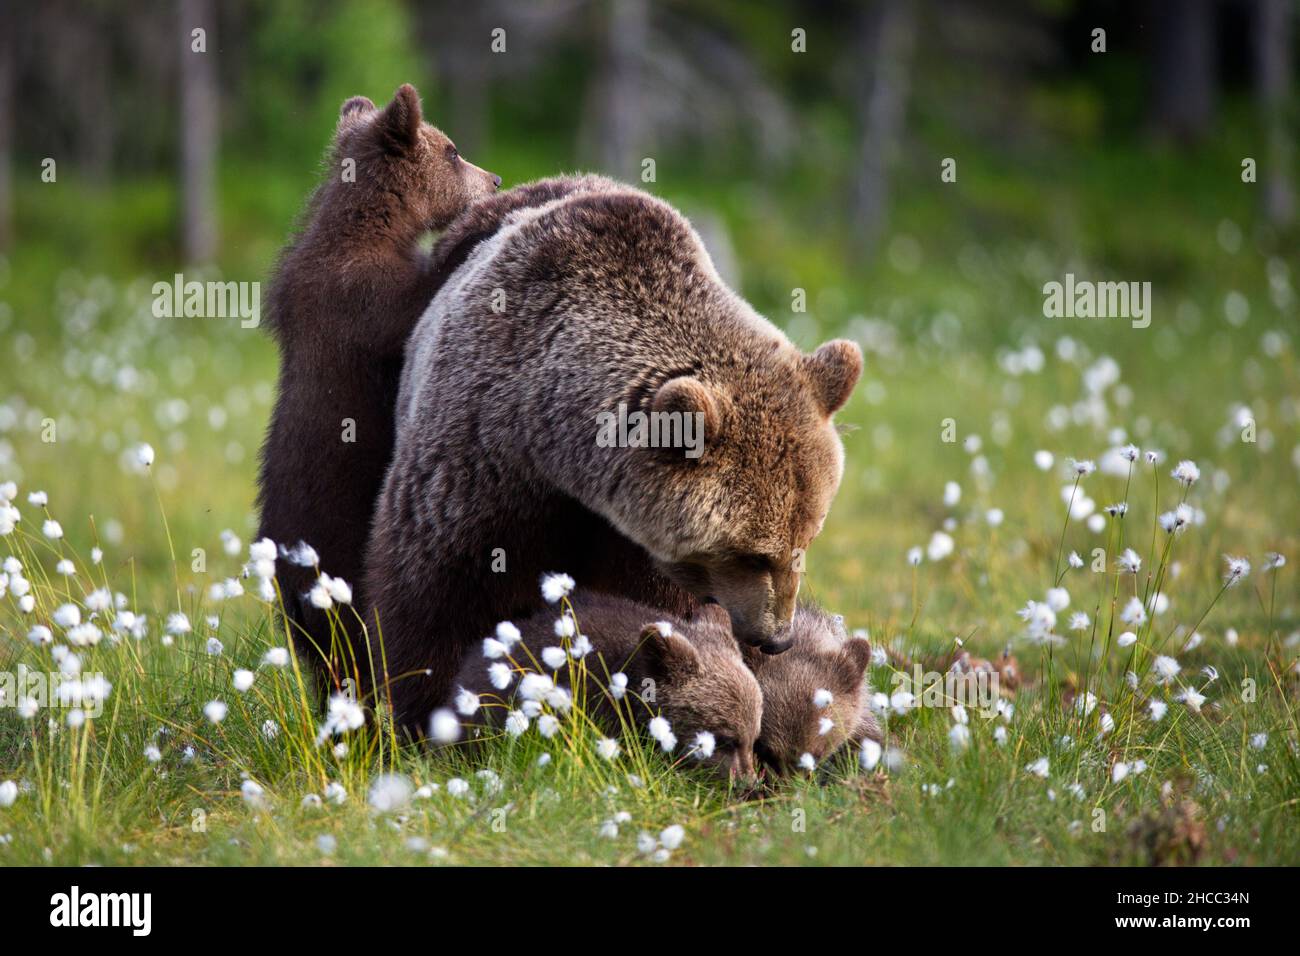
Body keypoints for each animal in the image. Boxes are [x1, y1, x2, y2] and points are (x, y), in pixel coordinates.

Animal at [256, 84, 500, 683]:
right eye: (453, 150)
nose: (495, 179)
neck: (375, 225)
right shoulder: (357, 299)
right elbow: (410, 303)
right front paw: (478, 228)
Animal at [362, 179, 863, 733]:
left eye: (807, 539)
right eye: (751, 553)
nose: (776, 637)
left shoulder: (637, 541)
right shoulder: (482, 448)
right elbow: (439, 581)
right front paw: (424, 708)